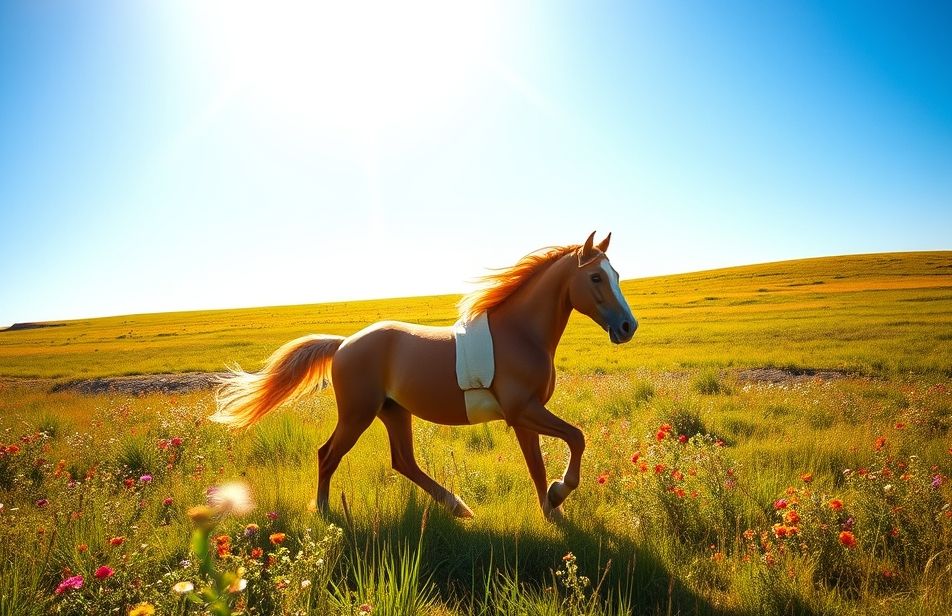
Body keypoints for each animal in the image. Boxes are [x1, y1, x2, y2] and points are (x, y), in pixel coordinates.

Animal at [211, 232, 637, 520]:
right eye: (596, 277)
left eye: (615, 273)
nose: (628, 326)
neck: (520, 333)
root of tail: (345, 344)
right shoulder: (523, 412)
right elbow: (570, 442)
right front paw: (558, 497)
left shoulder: (524, 416)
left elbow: (547, 459)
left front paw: (553, 506)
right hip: (357, 415)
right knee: (328, 454)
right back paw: (325, 511)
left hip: (393, 412)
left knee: (403, 462)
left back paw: (458, 505)